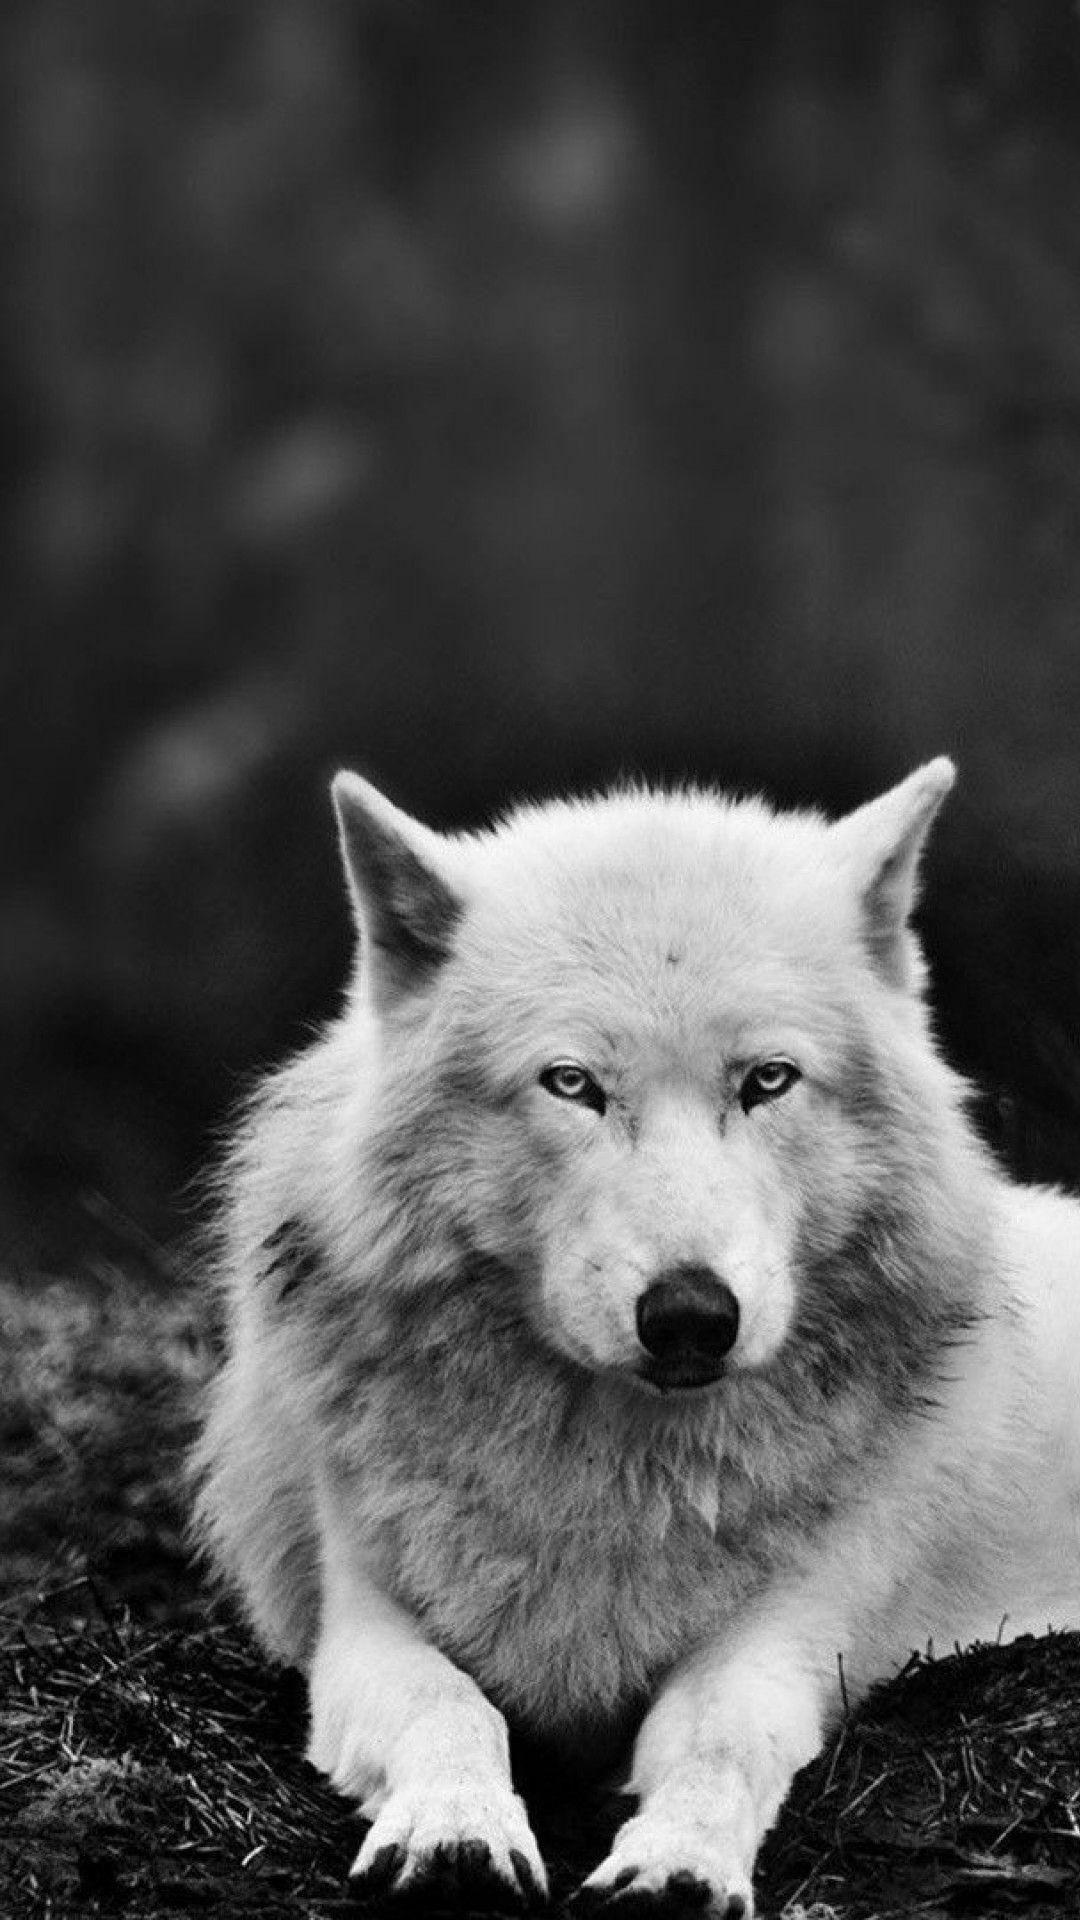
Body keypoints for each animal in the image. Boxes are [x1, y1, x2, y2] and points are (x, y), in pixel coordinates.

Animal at [193, 759, 1080, 1918]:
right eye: (572, 1083)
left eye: (767, 1081)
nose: (693, 1315)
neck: (617, 1475)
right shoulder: (362, 1619)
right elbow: (449, 1705)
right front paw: (455, 1832)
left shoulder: (795, 1632)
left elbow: (720, 1739)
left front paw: (679, 1863)